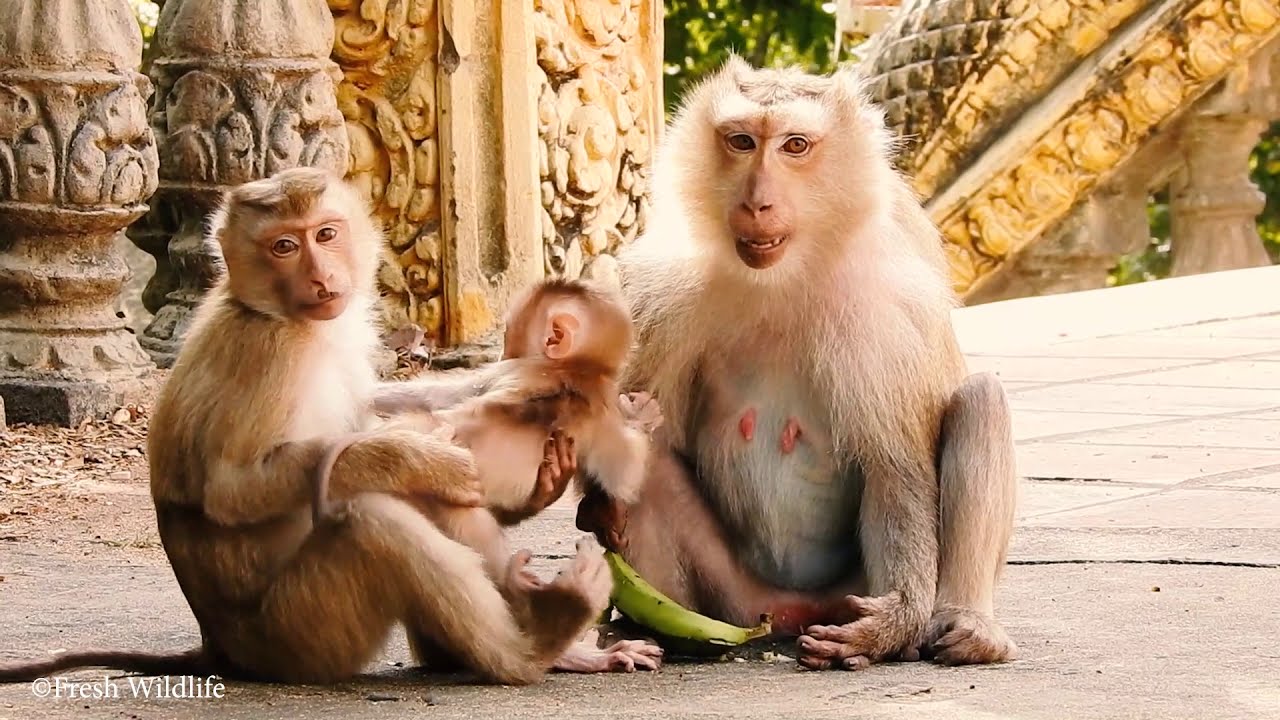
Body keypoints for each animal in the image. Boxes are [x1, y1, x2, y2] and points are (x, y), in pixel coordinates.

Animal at [0, 167, 618, 685]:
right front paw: (422, 458)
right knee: (376, 526)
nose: (322, 277)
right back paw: (539, 645)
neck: (280, 316)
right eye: (284, 246)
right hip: (302, 636)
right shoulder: (269, 354)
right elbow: (230, 490)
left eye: (324, 234)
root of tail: (219, 649)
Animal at [573, 56, 1020, 671]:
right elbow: (638, 422)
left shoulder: (886, 314)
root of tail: (787, 614)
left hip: (849, 592)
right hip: (734, 595)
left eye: (795, 145)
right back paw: (664, 630)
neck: (783, 276)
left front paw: (891, 623)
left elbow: (895, 467)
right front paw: (605, 505)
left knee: (980, 400)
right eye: (741, 141)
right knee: (657, 462)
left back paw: (966, 626)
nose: (756, 201)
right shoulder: (659, 297)